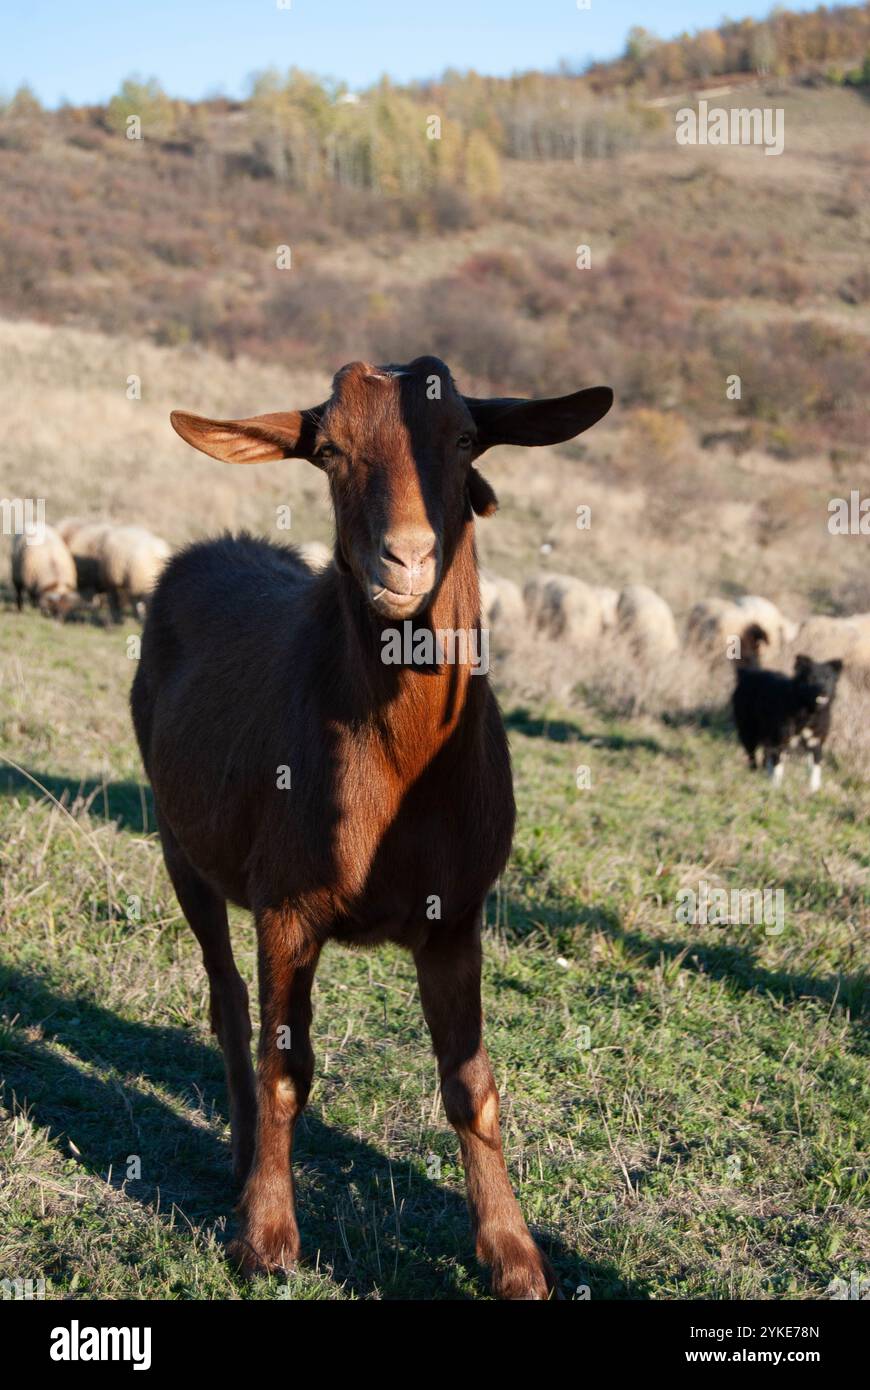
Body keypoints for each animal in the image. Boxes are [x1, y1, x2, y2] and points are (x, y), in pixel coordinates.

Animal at [131, 356, 613, 1299]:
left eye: (464, 439)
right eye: (329, 451)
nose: (408, 557)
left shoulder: (456, 919)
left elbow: (472, 1086)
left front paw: (514, 1255)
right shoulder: (287, 906)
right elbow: (287, 1067)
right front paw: (267, 1236)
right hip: (179, 844)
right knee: (227, 999)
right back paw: (242, 1161)